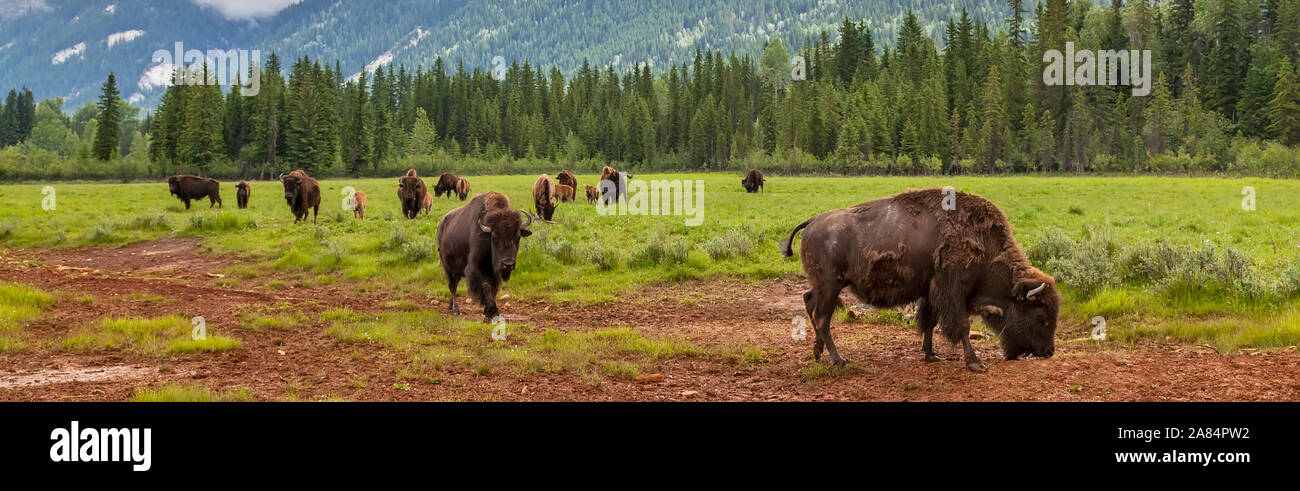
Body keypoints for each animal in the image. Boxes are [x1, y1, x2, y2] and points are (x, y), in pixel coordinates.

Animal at [435, 192, 539, 320]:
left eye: (518, 236)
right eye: (494, 237)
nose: (508, 264)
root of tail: (440, 226)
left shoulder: (494, 273)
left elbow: (493, 288)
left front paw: (488, 311)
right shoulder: (476, 268)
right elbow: (486, 285)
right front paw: (492, 311)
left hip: (457, 272)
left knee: (454, 285)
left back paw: (450, 307)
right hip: (449, 269)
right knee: (452, 287)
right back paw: (456, 310)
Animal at [780, 188, 1061, 372]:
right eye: (1041, 316)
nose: (1049, 352)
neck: (984, 246)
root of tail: (812, 221)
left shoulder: (932, 290)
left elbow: (930, 321)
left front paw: (931, 355)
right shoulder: (953, 291)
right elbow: (961, 326)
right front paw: (975, 363)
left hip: (824, 286)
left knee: (809, 302)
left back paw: (818, 353)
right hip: (831, 286)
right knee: (822, 318)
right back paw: (839, 360)